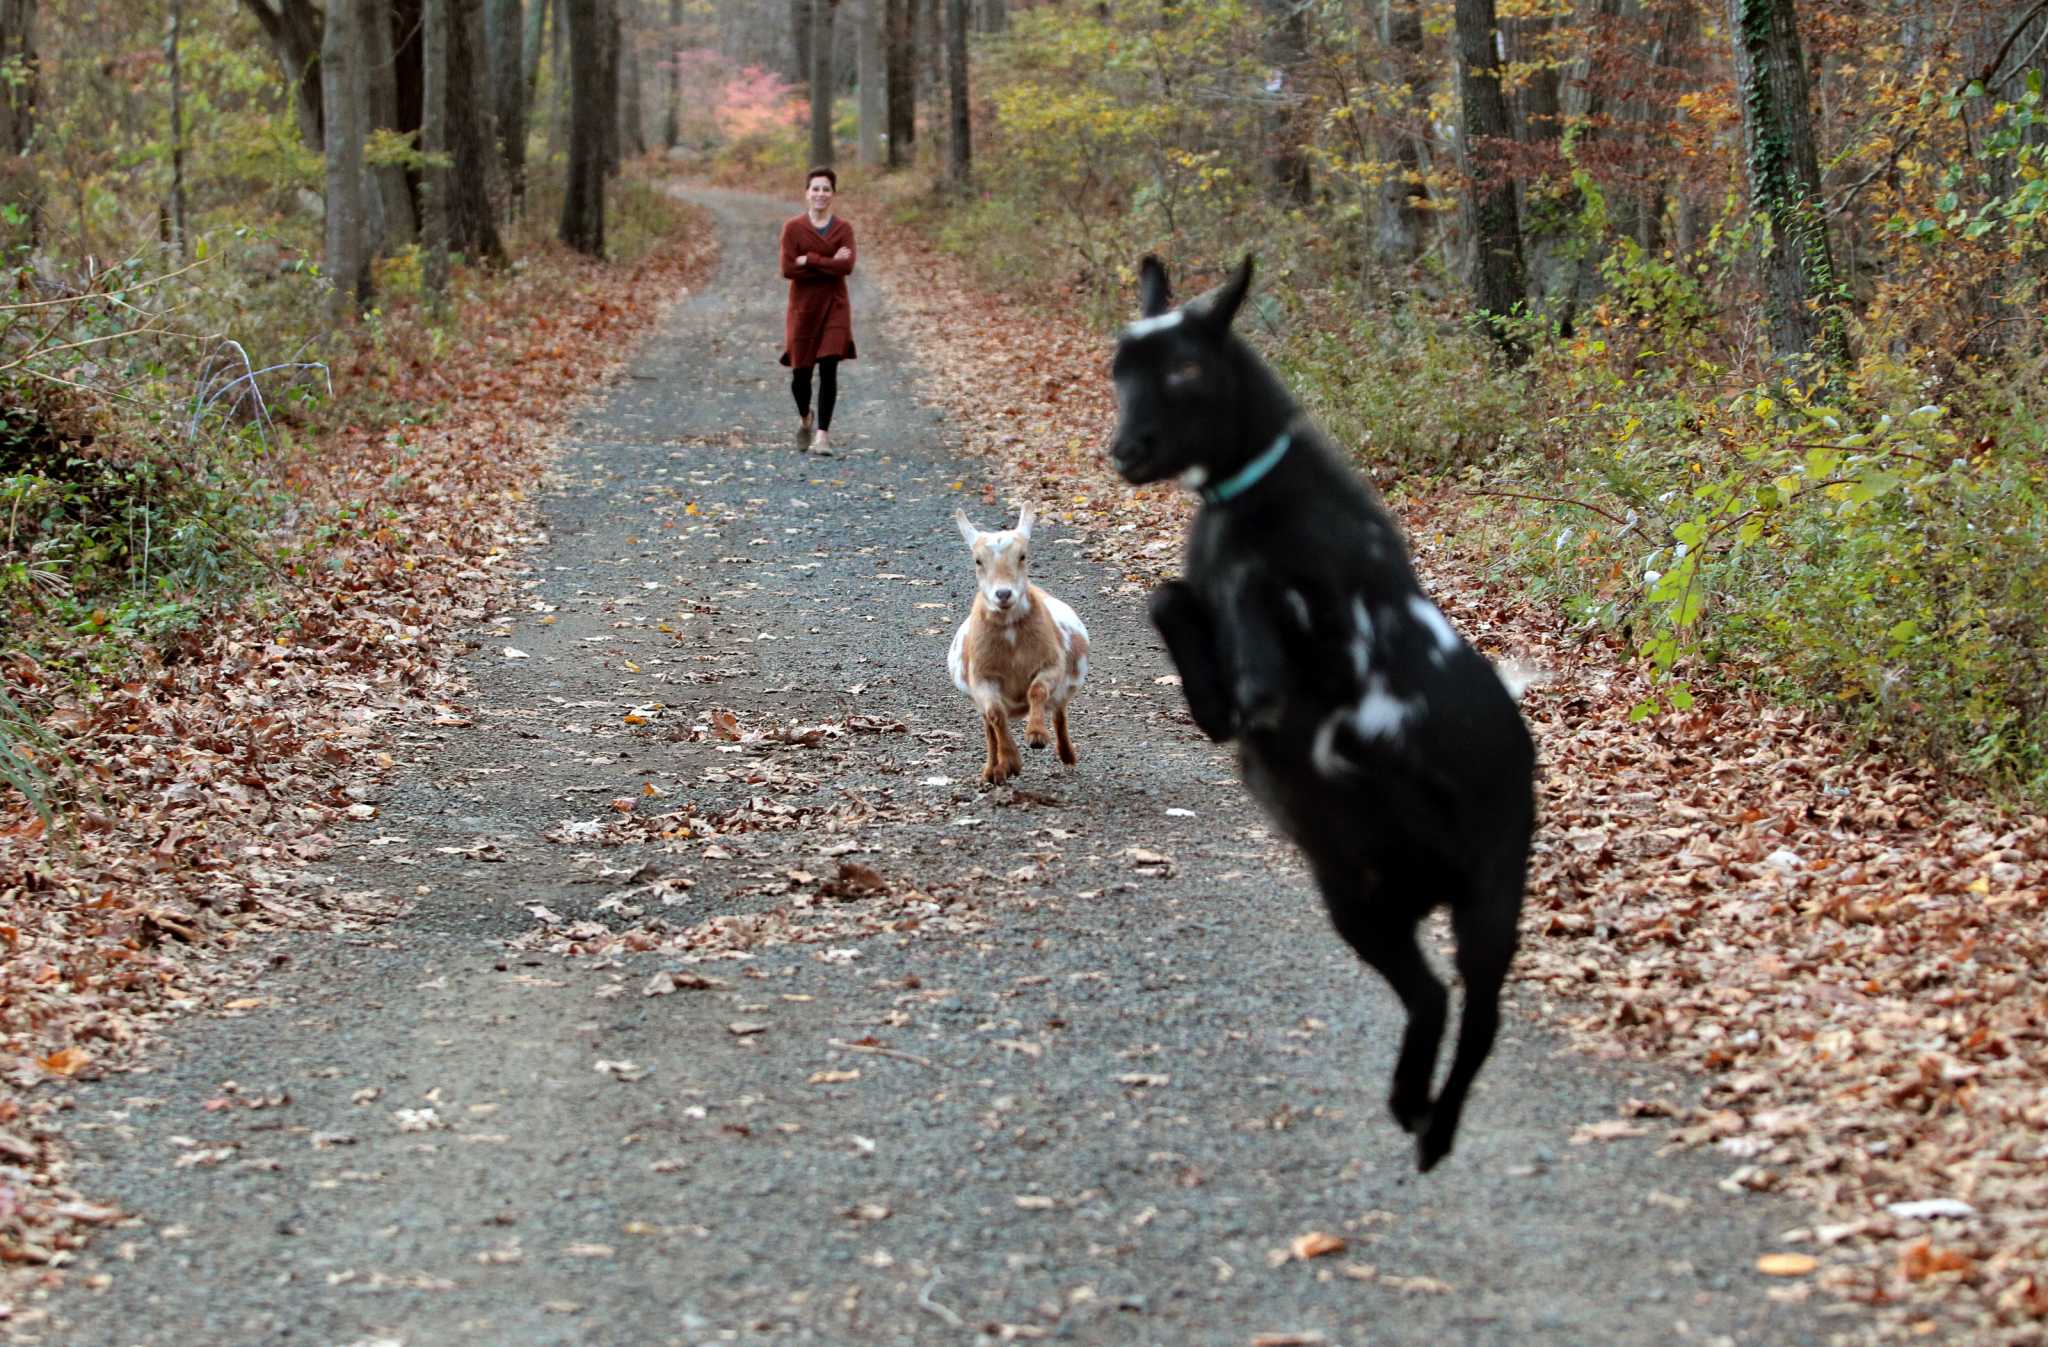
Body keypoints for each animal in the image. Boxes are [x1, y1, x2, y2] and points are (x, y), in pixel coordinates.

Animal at [948, 506, 1091, 786]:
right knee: (989, 728)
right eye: (978, 561)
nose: (1003, 594)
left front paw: (1036, 736)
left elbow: (1036, 691)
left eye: (1023, 556)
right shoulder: (983, 679)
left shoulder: (1050, 665)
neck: (1011, 639)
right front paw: (1011, 762)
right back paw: (993, 770)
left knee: (1058, 711)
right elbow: (996, 715)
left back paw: (1067, 755)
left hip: (1065, 687)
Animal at [1106, 254, 1536, 1172]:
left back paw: (1435, 1130)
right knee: (1430, 999)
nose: (1125, 451)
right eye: (1117, 369)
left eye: (1185, 368)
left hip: (1488, 900)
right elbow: (1171, 601)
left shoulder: (1296, 650)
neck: (1253, 491)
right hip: (1356, 898)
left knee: (1478, 1015)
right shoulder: (1231, 676)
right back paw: (1412, 1107)